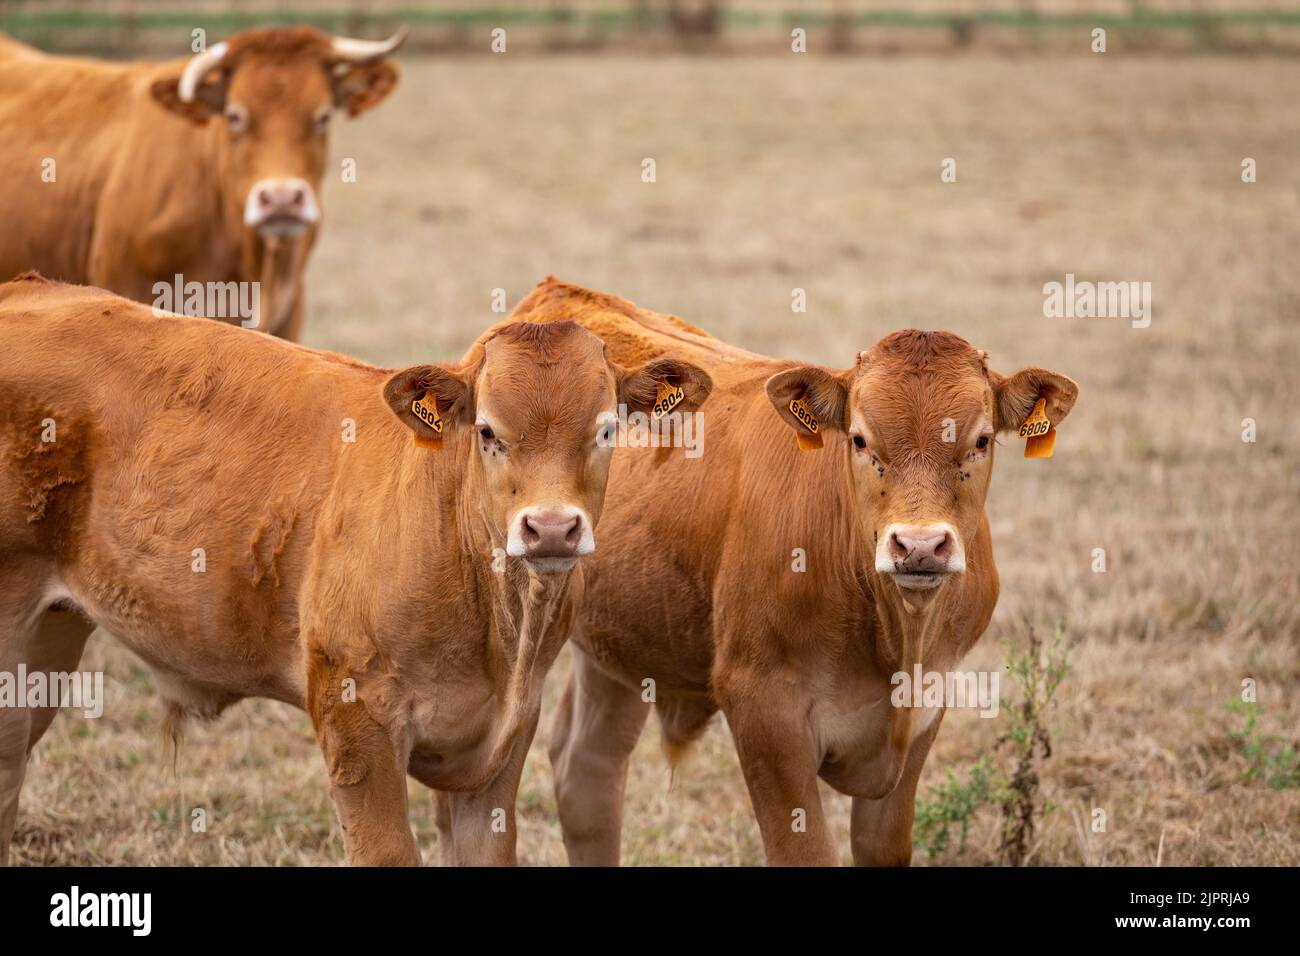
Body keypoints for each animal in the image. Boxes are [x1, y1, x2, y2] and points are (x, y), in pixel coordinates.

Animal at [0, 273, 711, 865]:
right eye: (487, 431)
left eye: (606, 429)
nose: (553, 527)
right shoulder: (357, 718)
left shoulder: (505, 739)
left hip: (52, 636)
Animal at [494, 277, 1079, 866]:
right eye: (860, 439)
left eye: (980, 440)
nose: (919, 546)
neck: (894, 634)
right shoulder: (763, 708)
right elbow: (804, 851)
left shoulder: (926, 709)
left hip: (621, 644)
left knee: (587, 768)